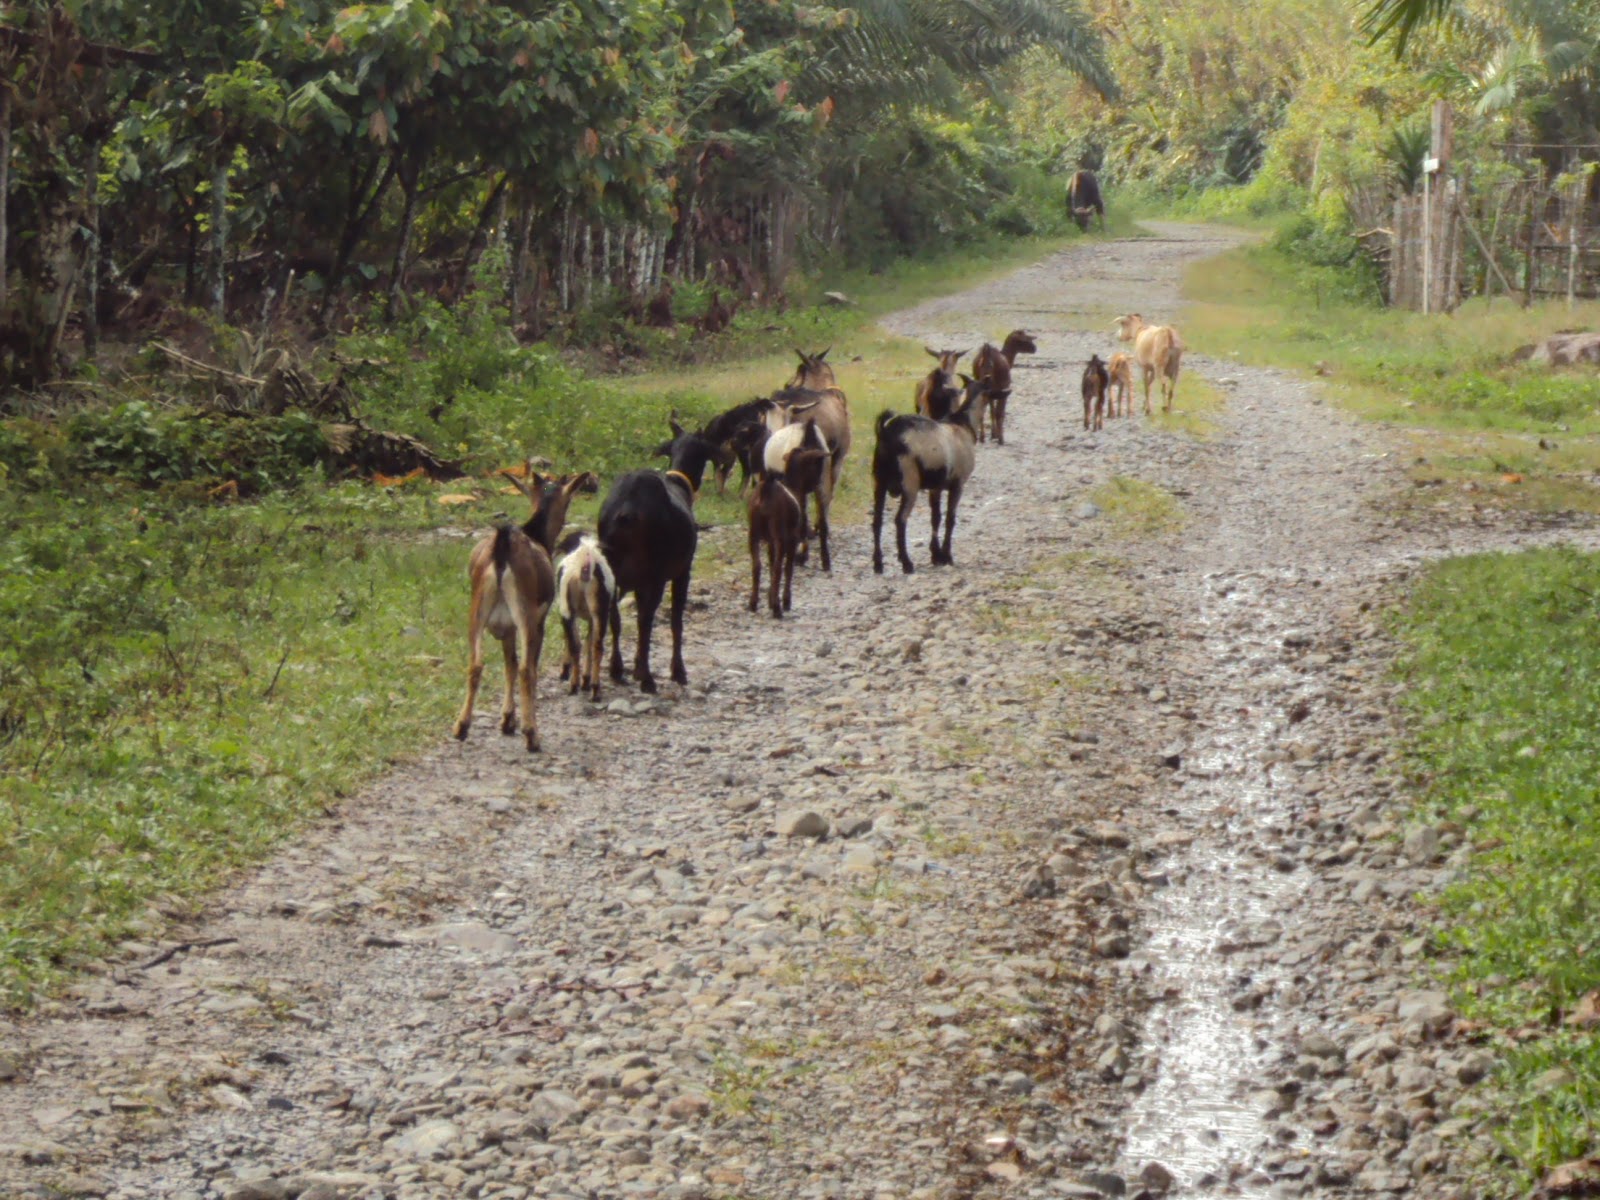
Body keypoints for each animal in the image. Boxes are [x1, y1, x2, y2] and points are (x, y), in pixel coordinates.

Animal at [453, 467, 594, 752]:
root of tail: (503, 547)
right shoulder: (538, 621)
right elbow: (528, 667)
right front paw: (516, 722)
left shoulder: (506, 627)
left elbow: (509, 663)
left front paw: (507, 719)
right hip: (525, 614)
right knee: (527, 669)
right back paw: (532, 735)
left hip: (477, 611)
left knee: (476, 665)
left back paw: (461, 727)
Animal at [555, 533, 615, 703]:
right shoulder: (589, 618)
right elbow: (588, 642)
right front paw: (585, 680)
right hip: (599, 612)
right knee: (596, 646)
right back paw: (593, 690)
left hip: (573, 610)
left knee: (578, 645)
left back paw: (576, 686)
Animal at [598, 422, 719, 693]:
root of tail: (627, 510)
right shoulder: (682, 571)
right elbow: (676, 620)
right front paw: (678, 671)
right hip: (654, 574)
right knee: (645, 620)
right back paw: (647, 678)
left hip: (616, 569)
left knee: (614, 616)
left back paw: (617, 669)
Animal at [872, 381, 982, 575]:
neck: (961, 425)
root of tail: (885, 433)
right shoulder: (957, 484)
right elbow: (950, 518)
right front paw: (946, 556)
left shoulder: (935, 487)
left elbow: (935, 517)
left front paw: (936, 555)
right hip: (910, 484)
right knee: (900, 519)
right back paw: (906, 563)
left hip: (880, 483)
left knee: (877, 521)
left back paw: (878, 564)